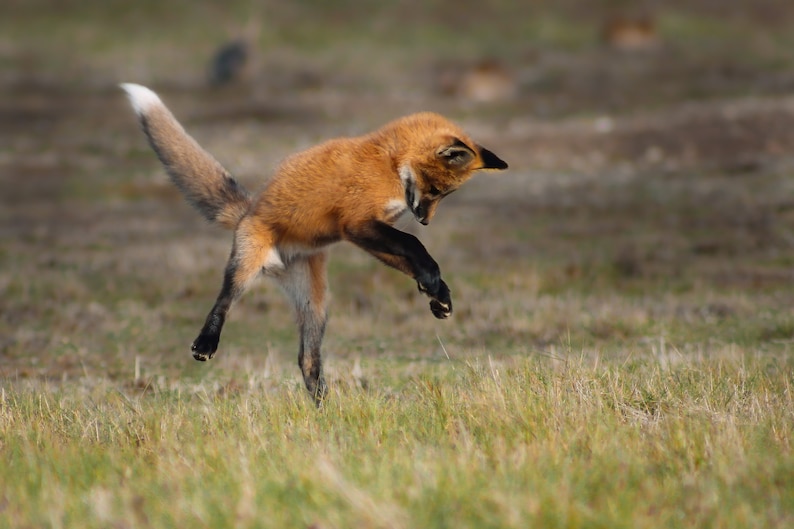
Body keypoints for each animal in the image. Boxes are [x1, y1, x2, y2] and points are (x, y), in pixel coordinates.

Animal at [120, 83, 508, 404]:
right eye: (436, 190)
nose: (426, 219)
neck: (389, 162)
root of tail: (249, 210)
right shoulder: (357, 223)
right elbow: (413, 245)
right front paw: (433, 283)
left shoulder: (370, 233)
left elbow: (412, 259)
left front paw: (438, 293)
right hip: (245, 264)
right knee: (224, 301)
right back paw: (206, 342)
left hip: (316, 305)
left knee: (307, 360)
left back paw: (323, 409)